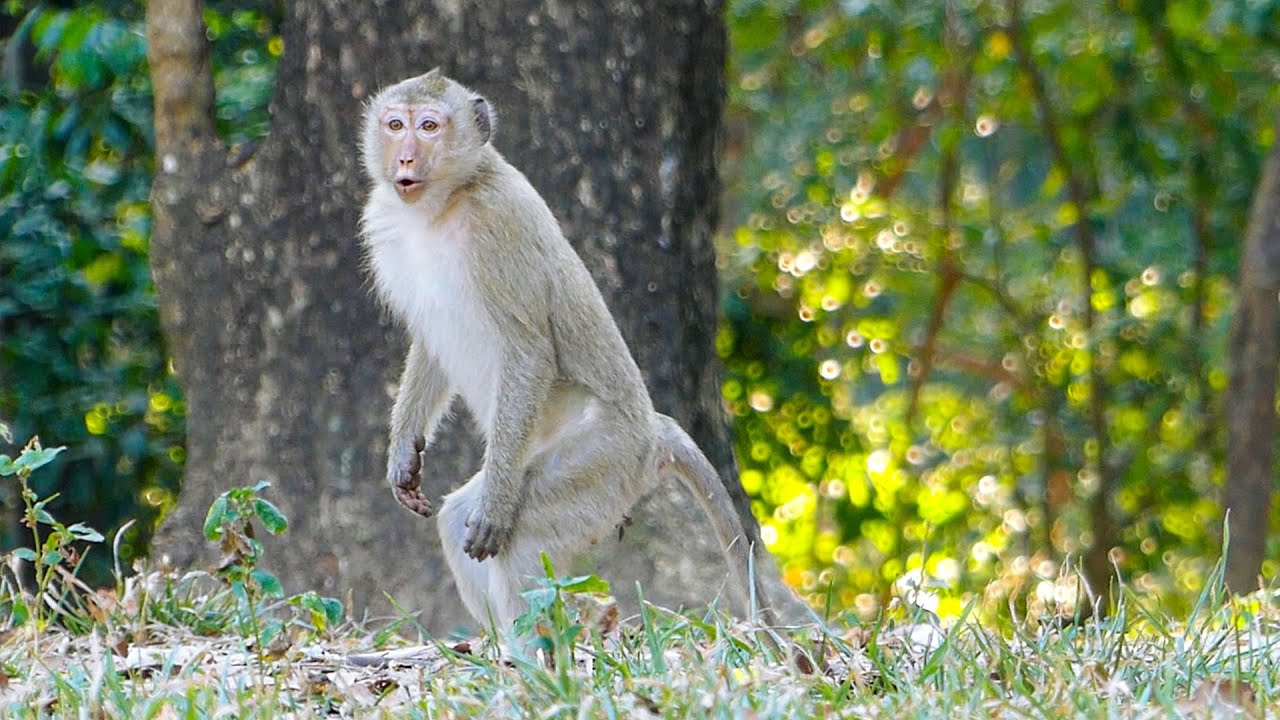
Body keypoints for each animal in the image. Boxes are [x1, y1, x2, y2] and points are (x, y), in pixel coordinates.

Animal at [359, 69, 780, 635]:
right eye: (395, 125)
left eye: (429, 127)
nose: (404, 159)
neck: (442, 206)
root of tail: (655, 431)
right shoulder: (386, 226)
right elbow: (429, 342)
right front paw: (404, 453)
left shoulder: (500, 225)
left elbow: (528, 350)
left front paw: (492, 510)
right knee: (455, 519)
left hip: (602, 459)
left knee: (519, 539)